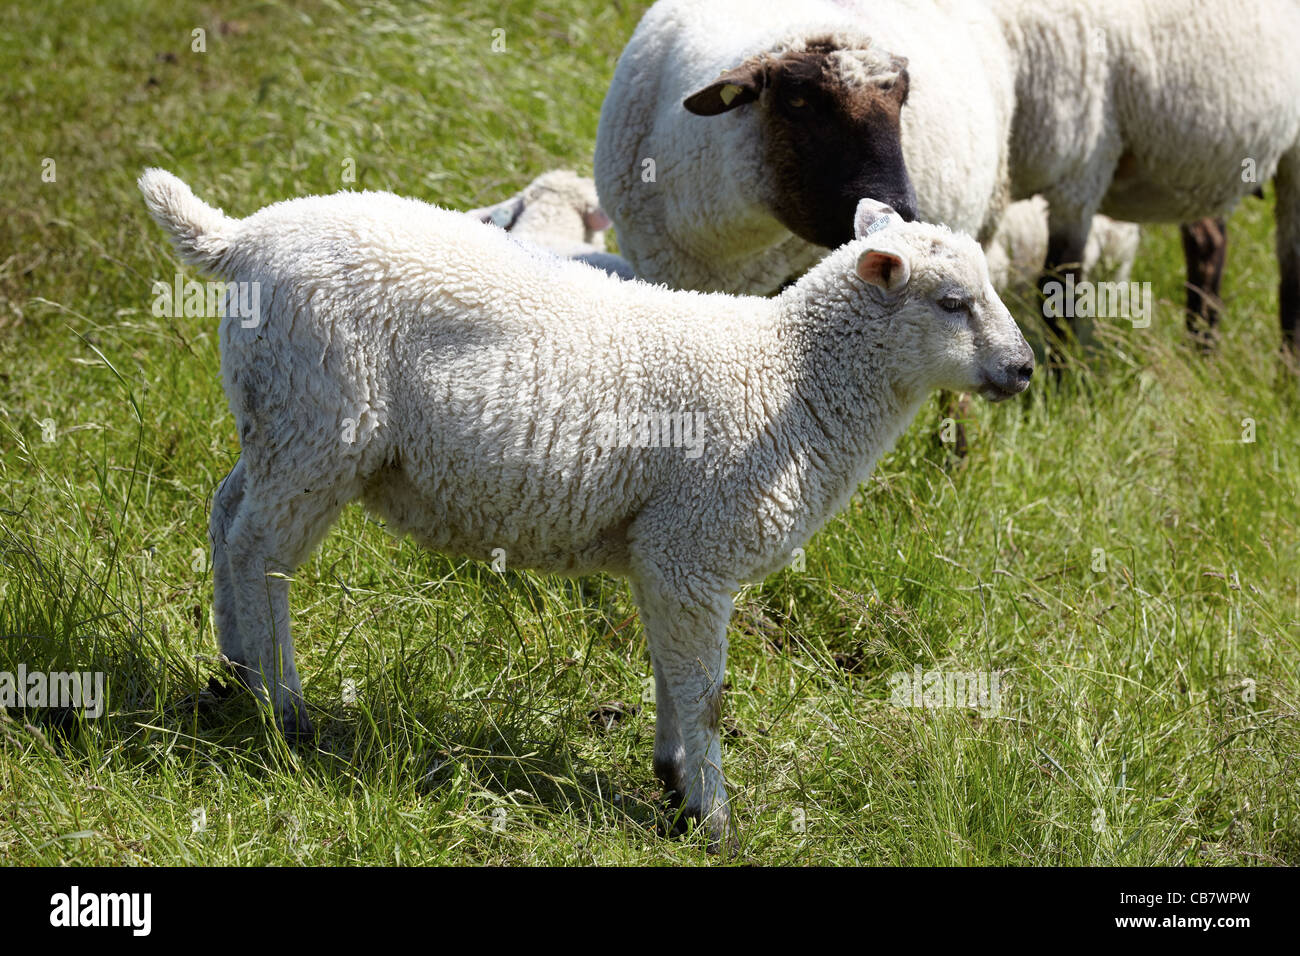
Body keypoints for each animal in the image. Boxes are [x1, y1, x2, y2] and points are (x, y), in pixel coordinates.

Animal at [990, 0, 1300, 358]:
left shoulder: (1081, 171)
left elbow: (1059, 290)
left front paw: (1062, 369)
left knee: (1291, 272)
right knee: (1209, 242)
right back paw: (1201, 352)